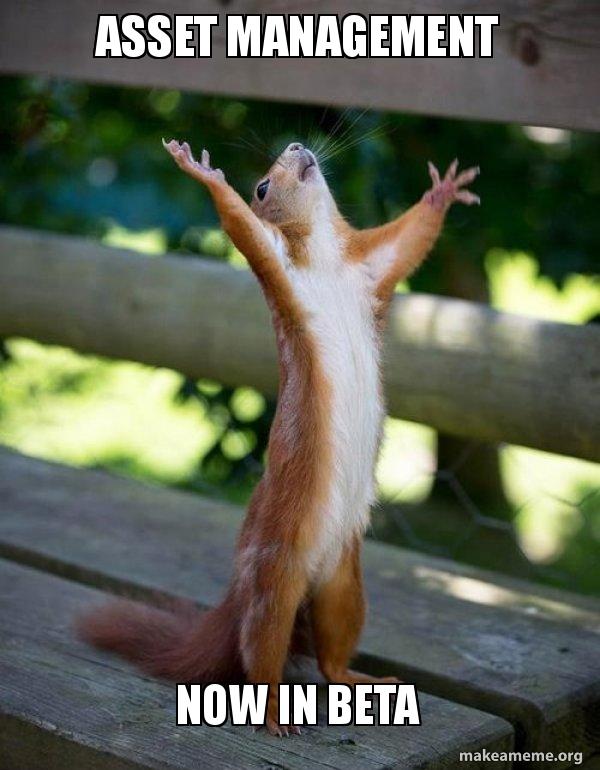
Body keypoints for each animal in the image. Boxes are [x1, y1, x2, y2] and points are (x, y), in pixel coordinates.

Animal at [79, 138, 479, 736]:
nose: (296, 146)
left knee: (332, 651)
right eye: (262, 186)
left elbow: (408, 241)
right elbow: (242, 227)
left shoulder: (371, 267)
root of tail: (241, 592)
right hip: (274, 580)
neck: (327, 259)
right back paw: (271, 712)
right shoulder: (278, 266)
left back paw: (355, 679)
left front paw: (443, 191)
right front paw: (204, 173)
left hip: (344, 585)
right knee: (260, 654)